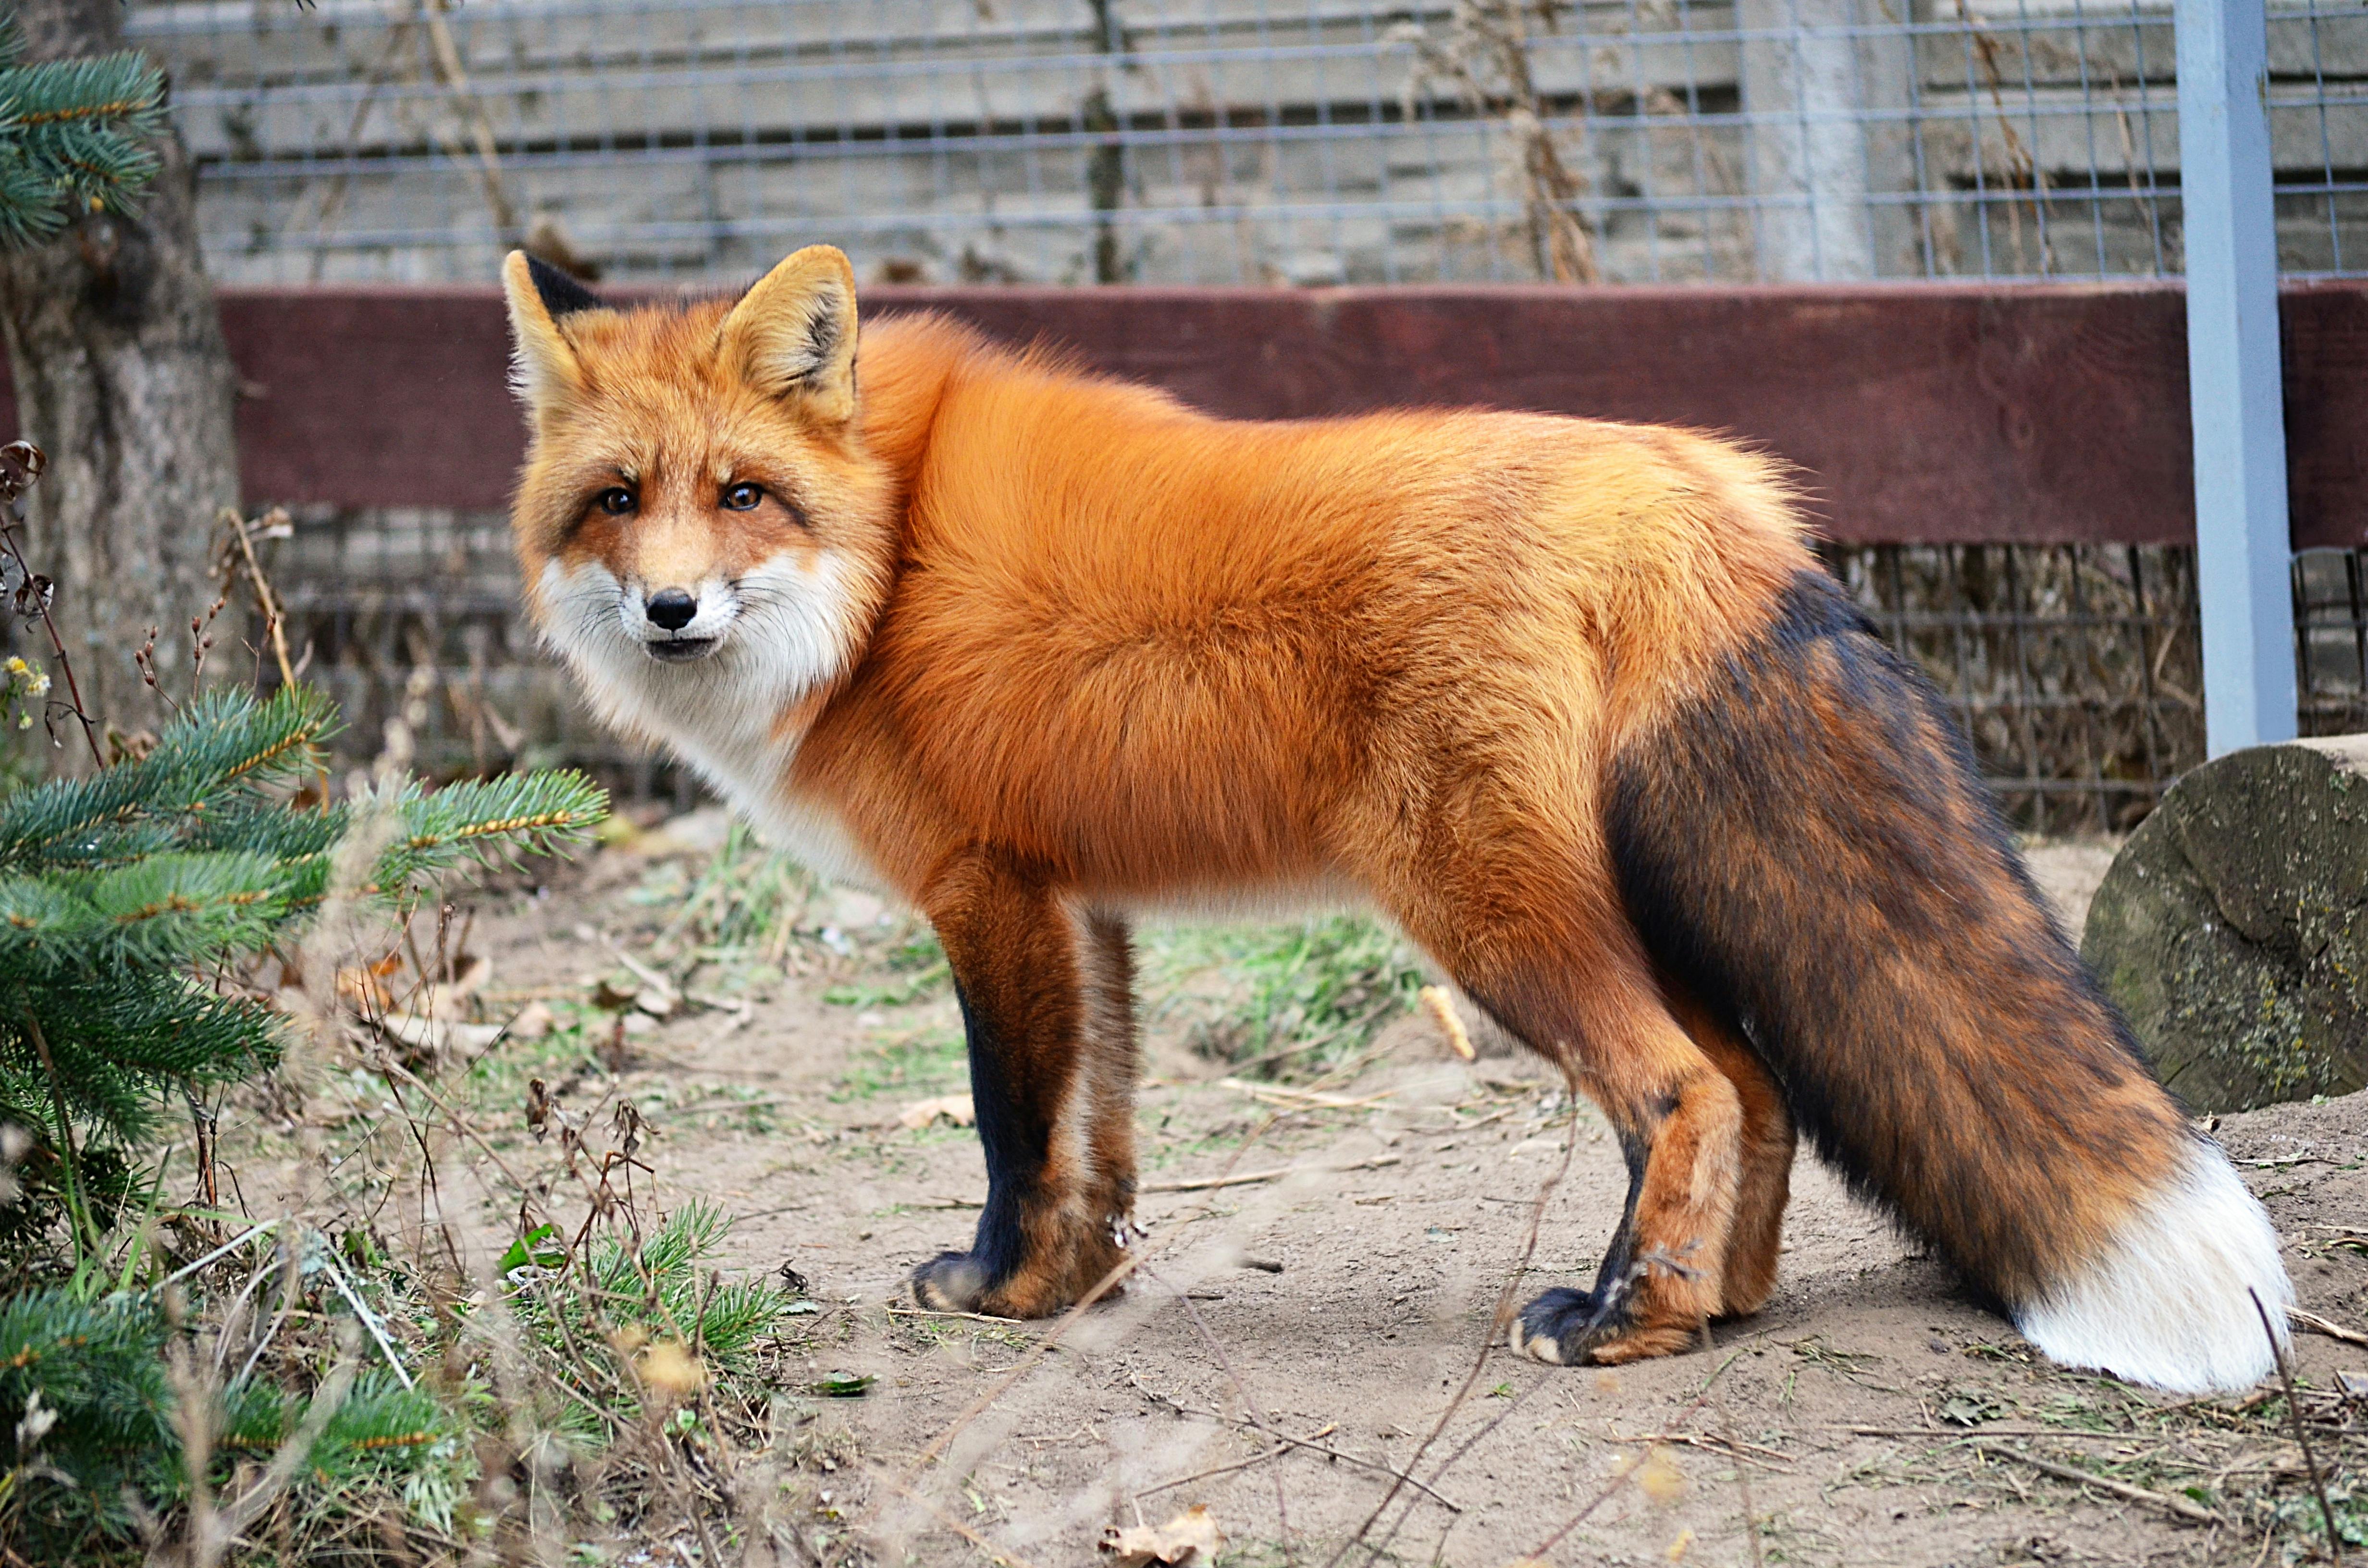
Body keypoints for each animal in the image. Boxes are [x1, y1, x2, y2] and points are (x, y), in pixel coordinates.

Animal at [499, 243, 2293, 1394]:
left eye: (741, 493)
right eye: (616, 502)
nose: (668, 610)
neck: (885, 562)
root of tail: (1675, 480)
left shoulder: (983, 888)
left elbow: (1014, 1128)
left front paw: (999, 1289)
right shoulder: (1081, 899)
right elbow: (1102, 1138)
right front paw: (1078, 1289)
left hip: (1482, 908)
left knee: (1683, 1086)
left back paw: (1623, 1324)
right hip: (1619, 902)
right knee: (1759, 1089)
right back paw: (1712, 1301)